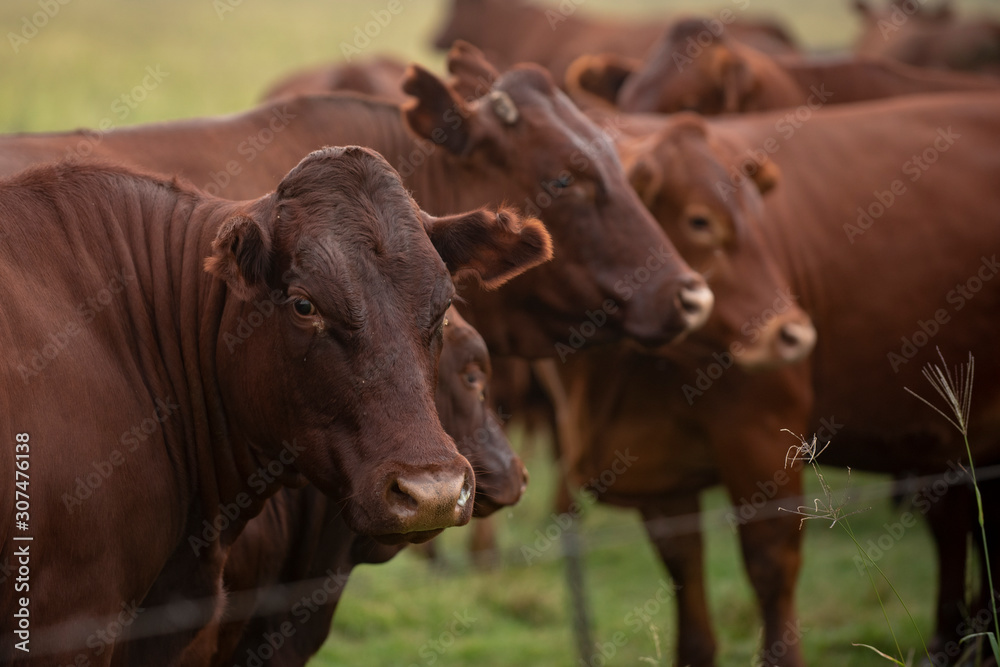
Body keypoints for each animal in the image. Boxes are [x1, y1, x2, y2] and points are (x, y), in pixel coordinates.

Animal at [550, 94, 1000, 666]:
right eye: (699, 221)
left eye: (759, 220)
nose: (793, 334)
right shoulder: (656, 468)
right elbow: (683, 574)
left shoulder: (762, 436)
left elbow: (770, 564)